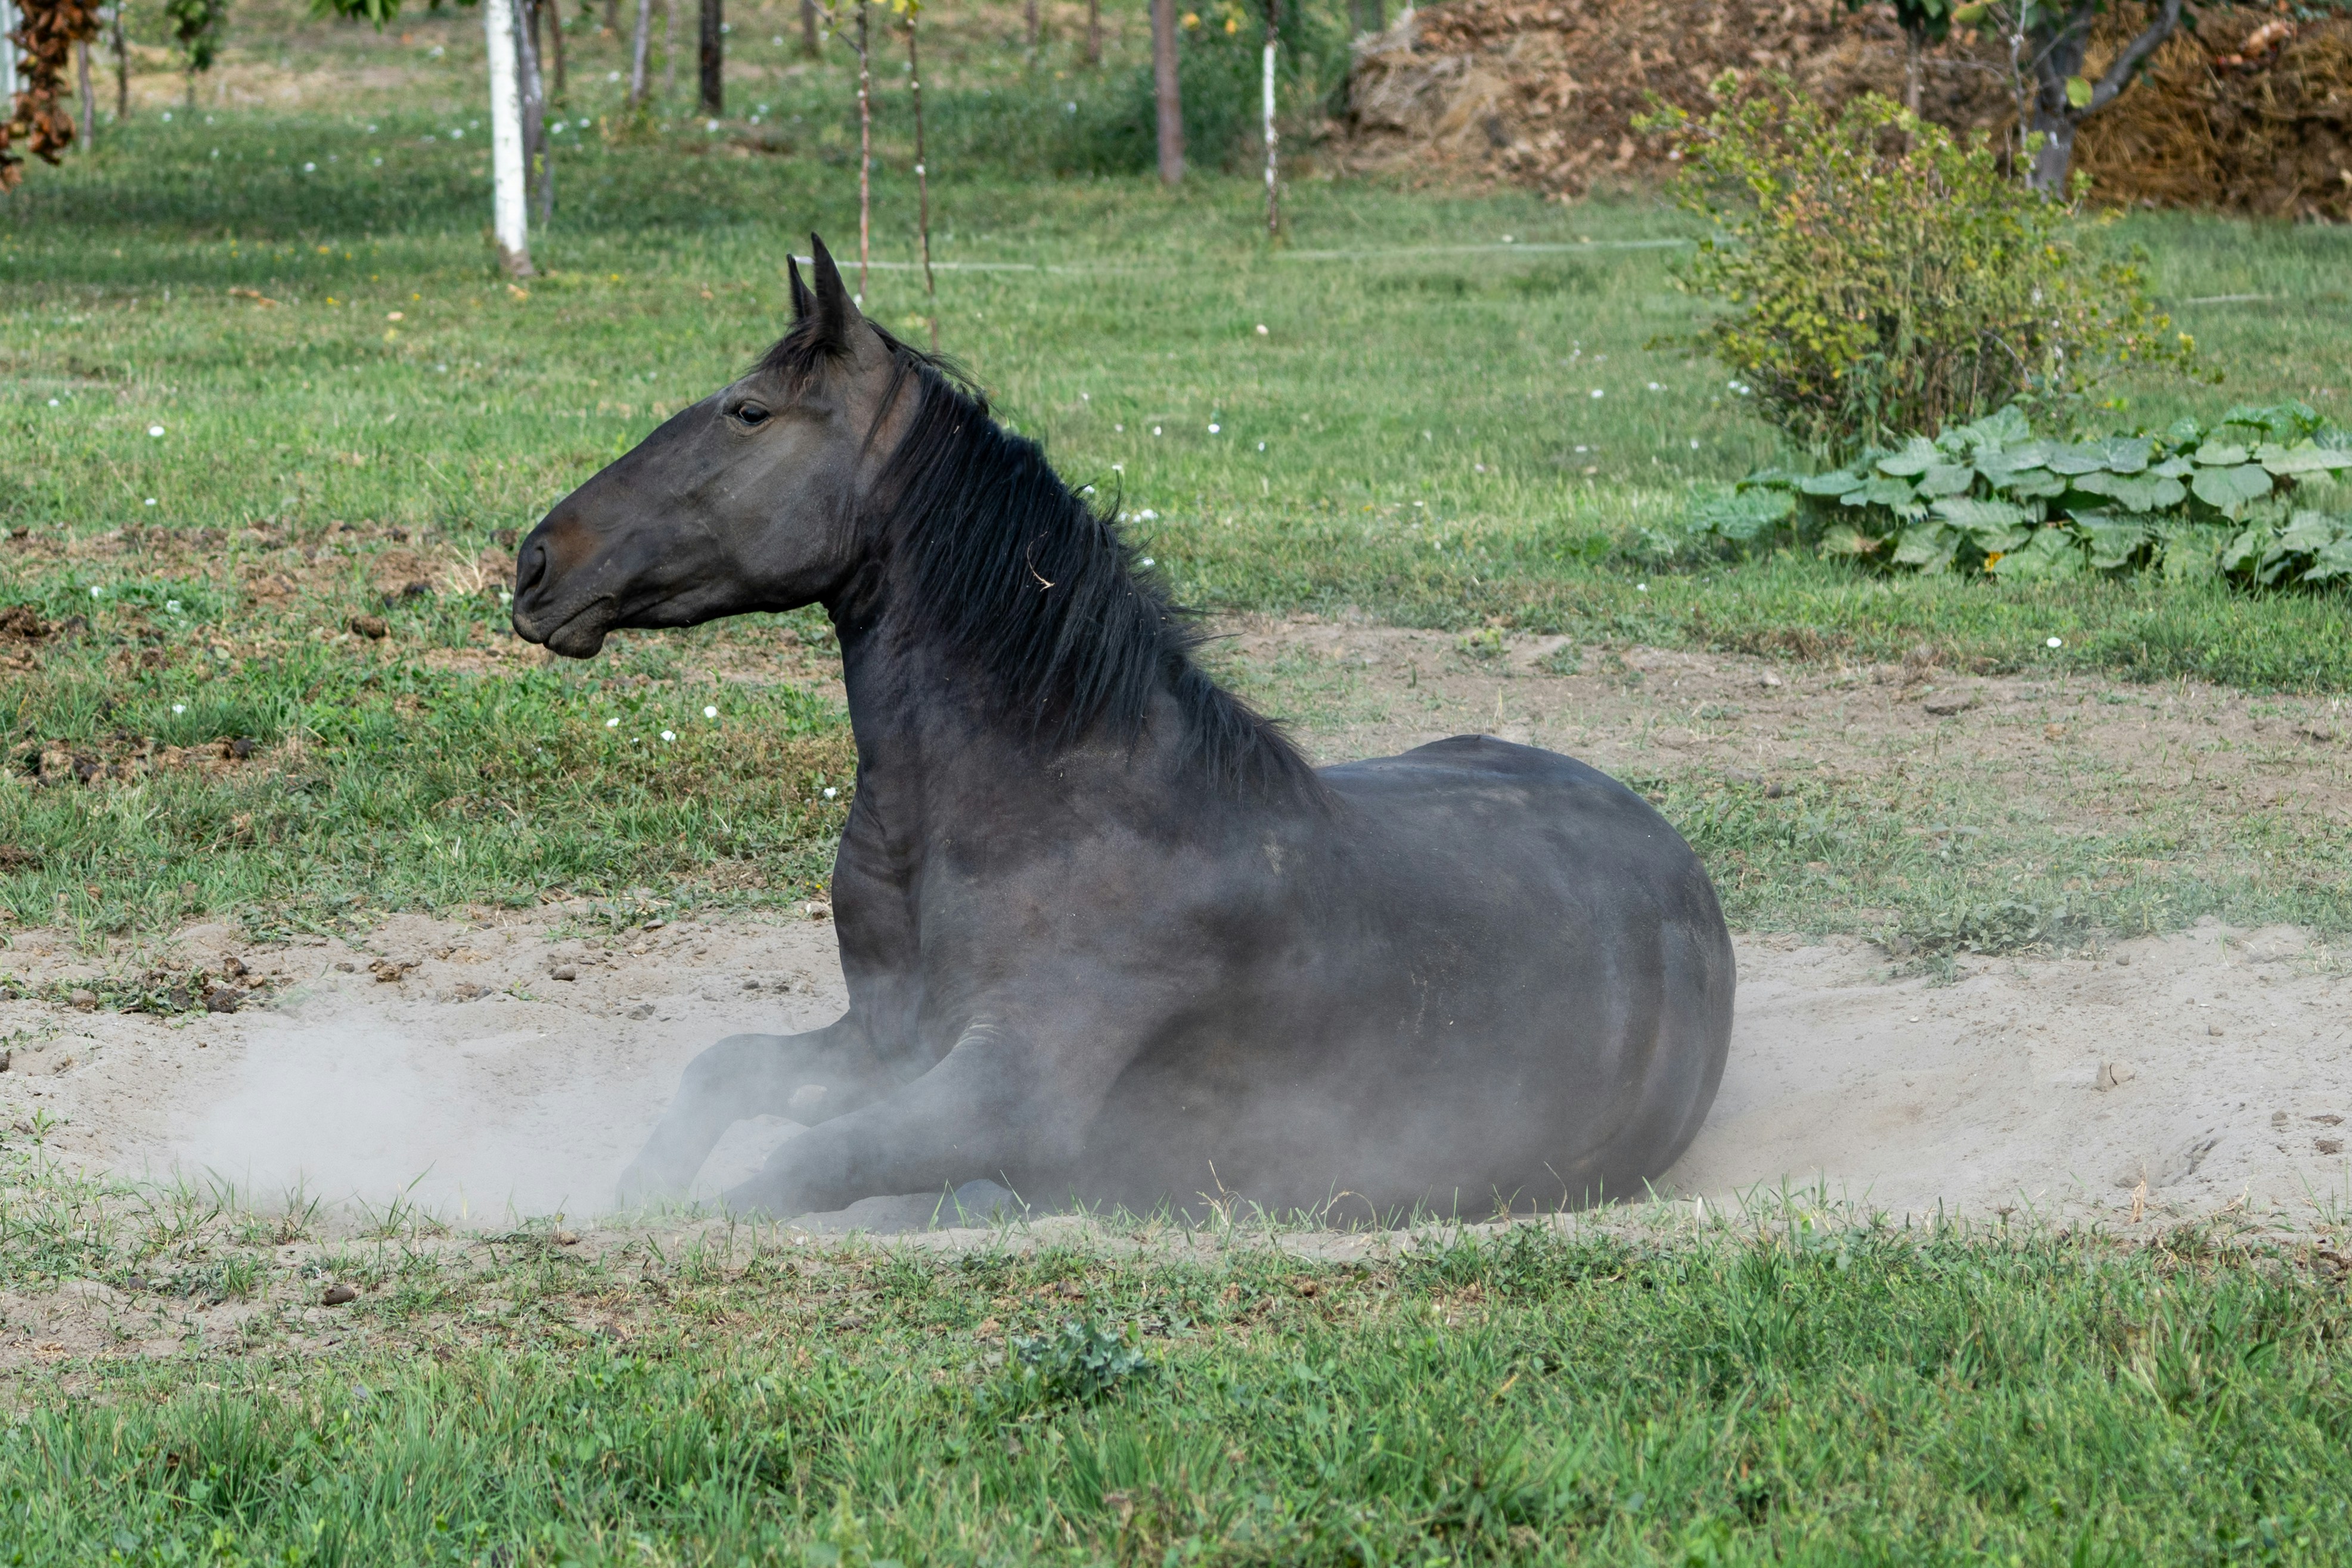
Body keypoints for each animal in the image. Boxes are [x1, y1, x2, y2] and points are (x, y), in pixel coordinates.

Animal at [509, 236, 1735, 1222]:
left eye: (749, 412)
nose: (534, 562)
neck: (1037, 811)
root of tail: (1686, 880)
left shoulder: (1003, 1092)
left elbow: (796, 1172)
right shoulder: (882, 1039)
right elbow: (722, 1075)